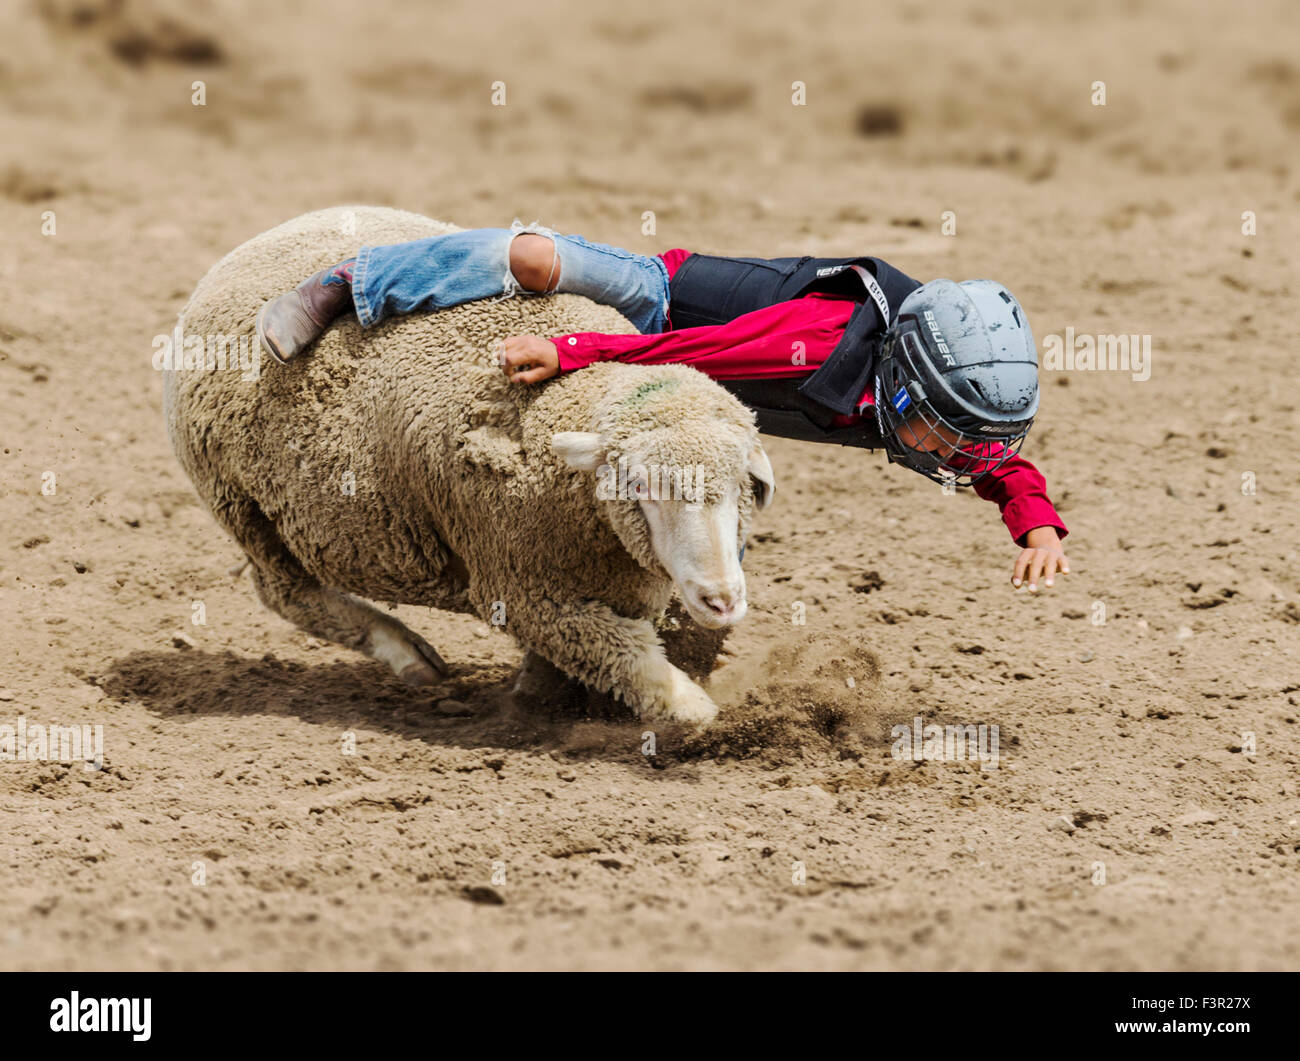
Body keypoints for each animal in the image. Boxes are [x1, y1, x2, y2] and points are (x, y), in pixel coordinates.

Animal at [164, 206, 775, 723]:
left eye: (740, 486)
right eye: (640, 485)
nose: (721, 599)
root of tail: (248, 248)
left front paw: (539, 696)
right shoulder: (525, 591)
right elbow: (629, 660)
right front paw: (696, 712)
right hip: (241, 504)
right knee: (286, 593)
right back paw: (406, 652)